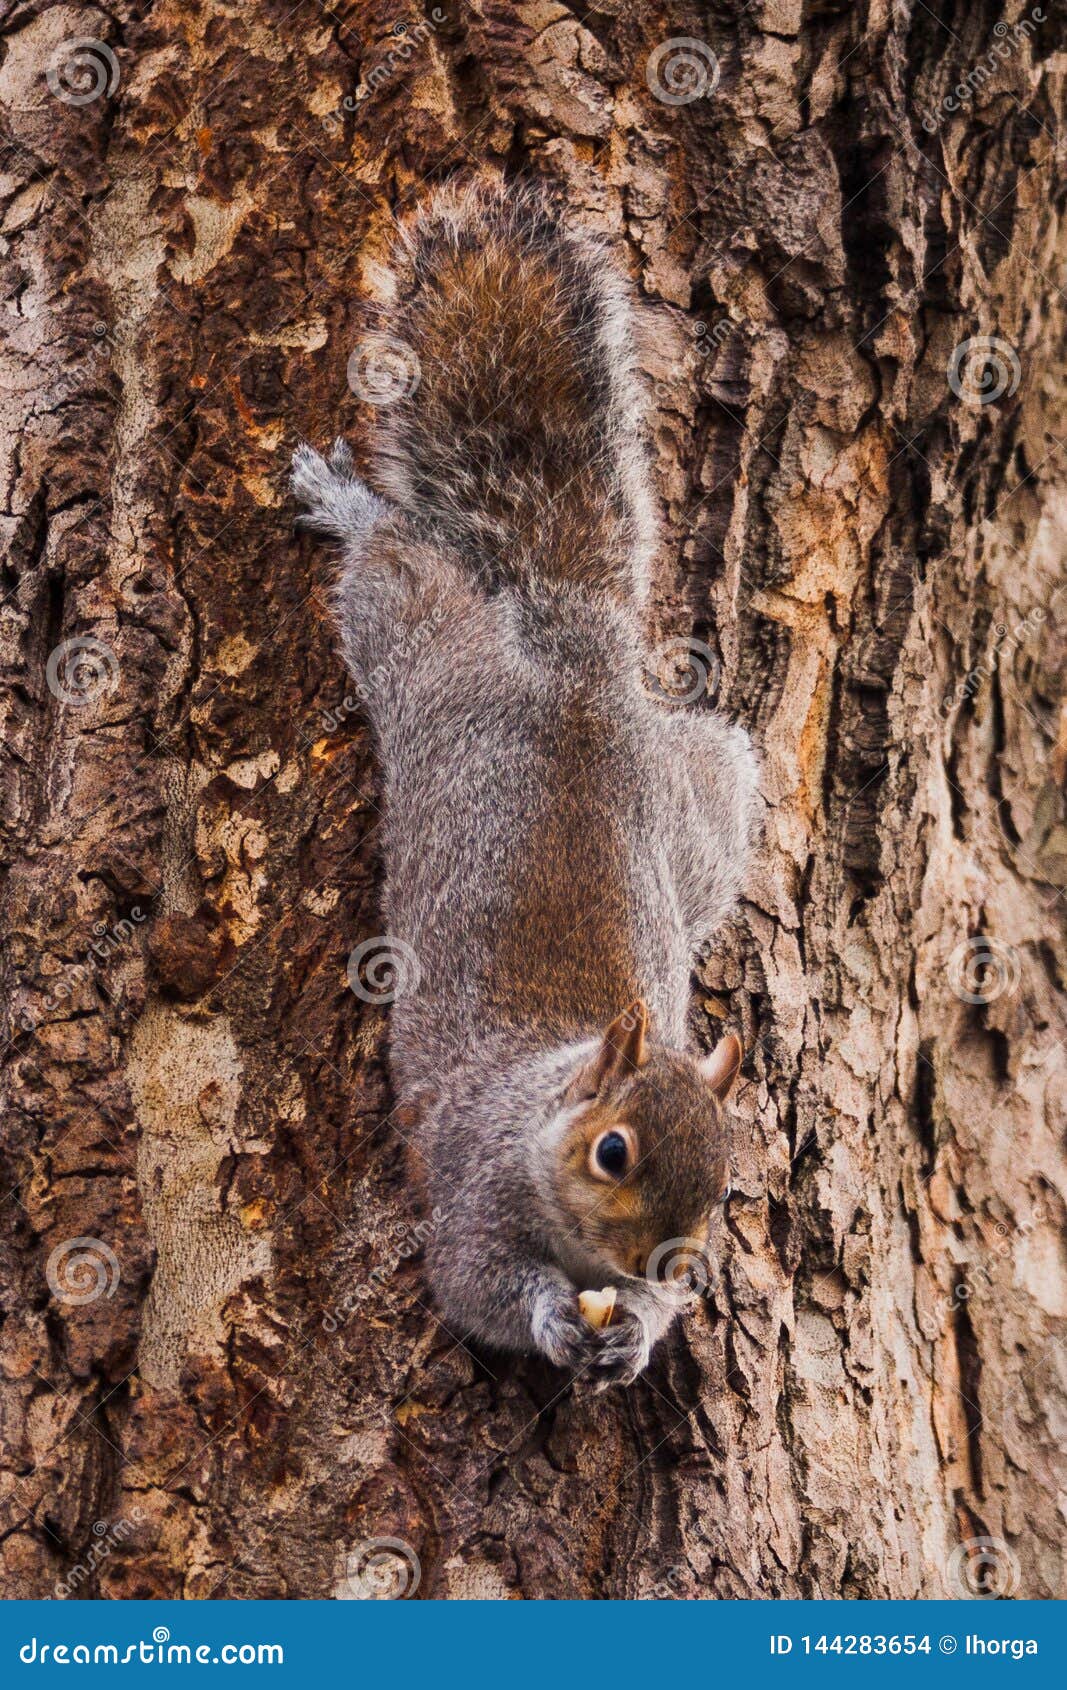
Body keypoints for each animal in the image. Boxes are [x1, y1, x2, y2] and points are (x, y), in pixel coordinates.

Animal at [292, 182, 760, 1385]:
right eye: (613, 1150)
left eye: (725, 1179)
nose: (664, 1261)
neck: (545, 1104)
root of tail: (568, 648)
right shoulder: (472, 1195)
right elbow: (476, 1288)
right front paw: (554, 1317)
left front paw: (636, 1327)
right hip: (415, 645)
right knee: (394, 561)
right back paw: (345, 503)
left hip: (697, 806)